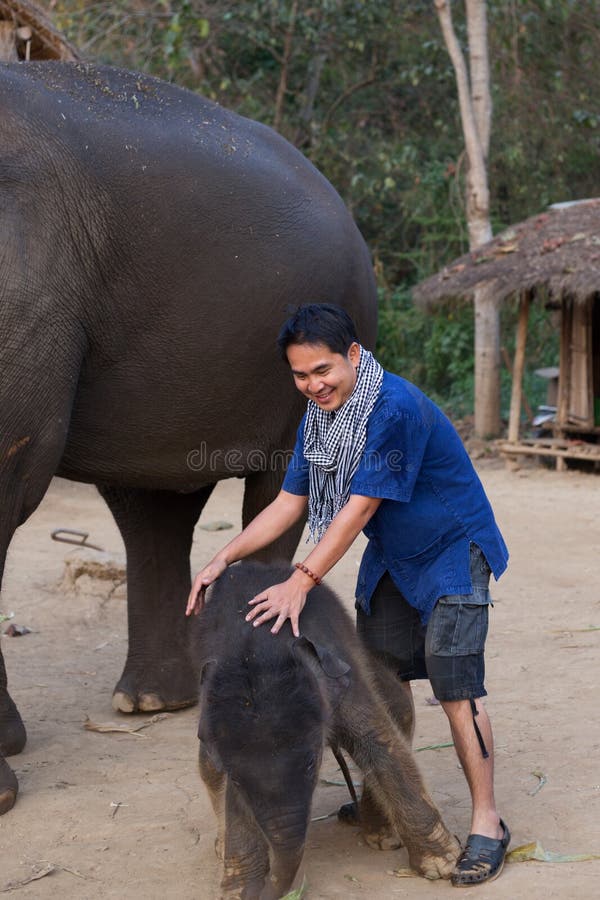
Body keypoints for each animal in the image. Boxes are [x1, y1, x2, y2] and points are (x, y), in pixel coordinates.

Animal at [195, 562, 461, 899]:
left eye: (312, 765)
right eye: (239, 779)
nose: (270, 888)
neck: (255, 653)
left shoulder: (340, 681)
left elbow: (378, 741)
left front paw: (443, 865)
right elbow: (232, 797)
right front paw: (237, 891)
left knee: (398, 708)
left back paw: (382, 837)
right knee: (206, 766)